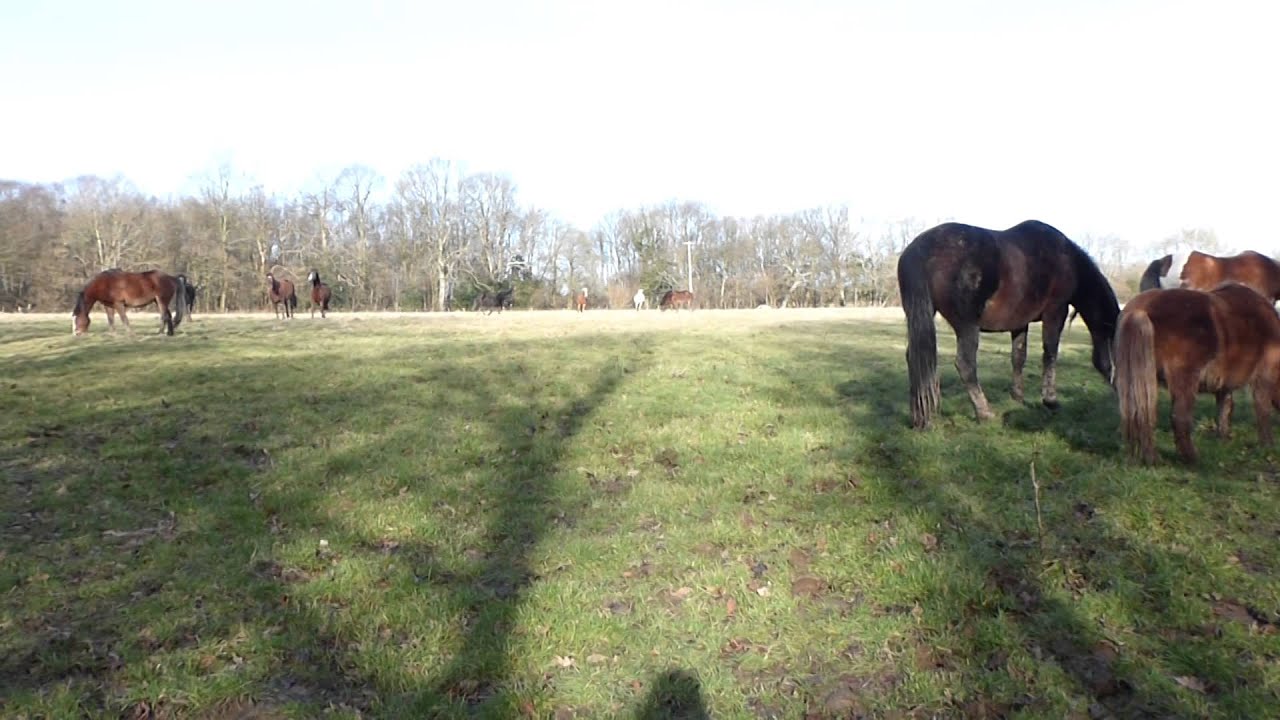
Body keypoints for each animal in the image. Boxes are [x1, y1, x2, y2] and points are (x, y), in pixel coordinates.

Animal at [896, 220, 1120, 429]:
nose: (1118, 390)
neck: (1066, 259)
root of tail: (920, 248)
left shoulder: (1020, 322)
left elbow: (1018, 357)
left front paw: (1018, 396)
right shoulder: (1056, 312)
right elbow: (1050, 354)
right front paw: (1050, 400)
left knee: (915, 358)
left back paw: (921, 418)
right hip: (967, 326)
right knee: (965, 364)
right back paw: (985, 413)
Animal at [1114, 282, 1280, 464]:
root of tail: (1141, 308)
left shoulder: (1224, 384)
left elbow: (1225, 408)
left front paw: (1223, 439)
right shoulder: (1264, 376)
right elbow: (1262, 410)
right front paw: (1268, 446)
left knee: (1142, 414)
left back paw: (1150, 458)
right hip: (1185, 379)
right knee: (1179, 418)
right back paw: (1191, 458)